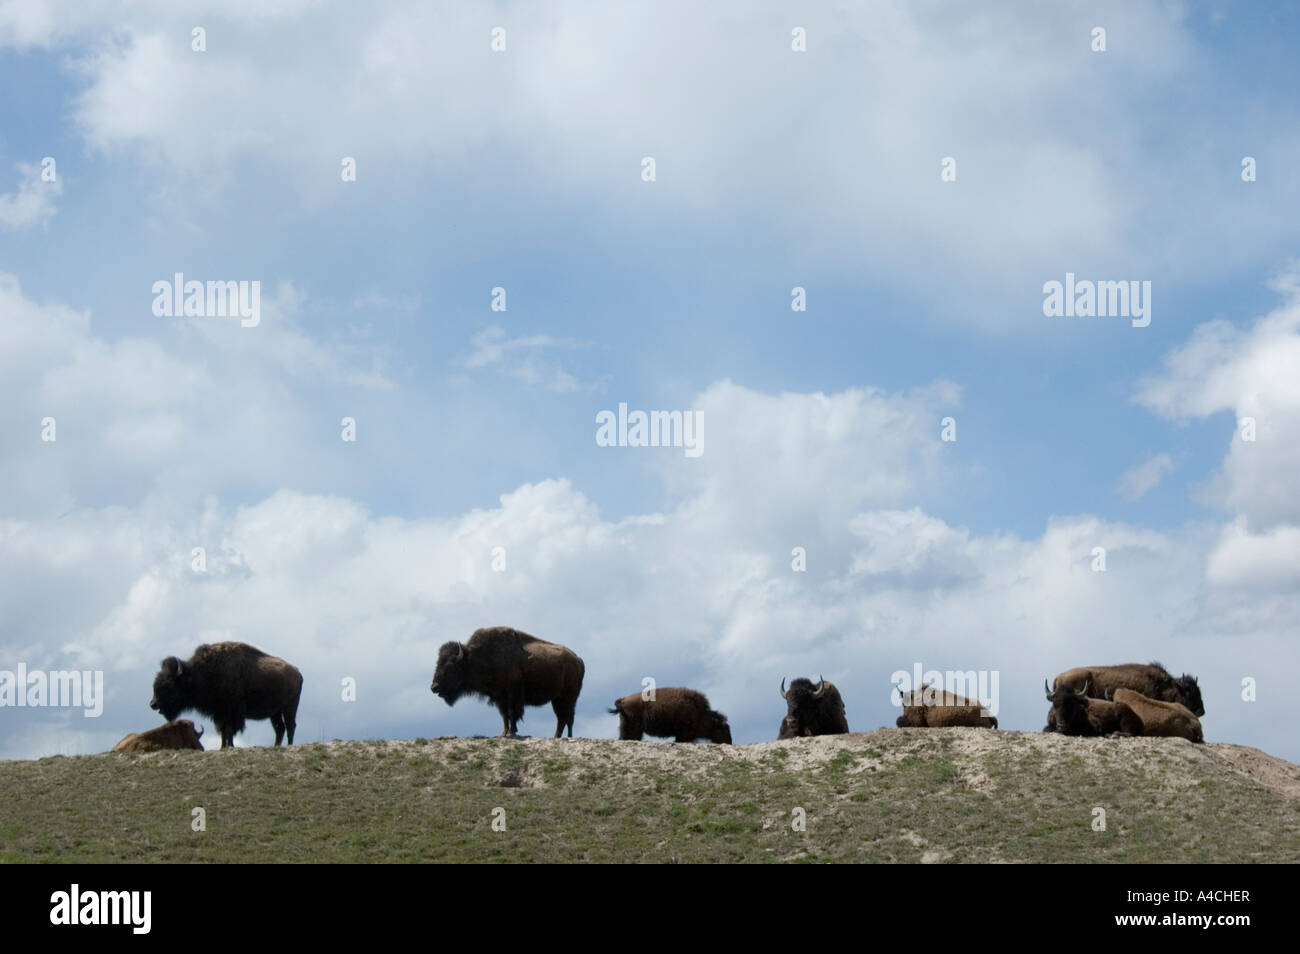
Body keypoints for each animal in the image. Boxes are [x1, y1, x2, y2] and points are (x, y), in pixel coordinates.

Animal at [150, 642, 303, 748]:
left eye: (168, 685)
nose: (153, 704)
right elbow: (223, 730)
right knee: (280, 728)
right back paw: (276, 746)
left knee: (290, 726)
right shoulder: (219, 713)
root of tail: (297, 672)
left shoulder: (232, 711)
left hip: (290, 708)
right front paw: (223, 747)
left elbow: (229, 729)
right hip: (275, 712)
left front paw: (229, 746)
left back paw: (289, 746)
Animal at [431, 626, 585, 738]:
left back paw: (569, 737)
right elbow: (504, 715)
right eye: (438, 663)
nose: (434, 687)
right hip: (557, 699)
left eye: (449, 666)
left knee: (569, 717)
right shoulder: (499, 697)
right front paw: (504, 733)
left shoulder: (512, 693)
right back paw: (557, 737)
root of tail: (578, 659)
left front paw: (512, 732)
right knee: (562, 718)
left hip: (569, 697)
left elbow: (511, 712)